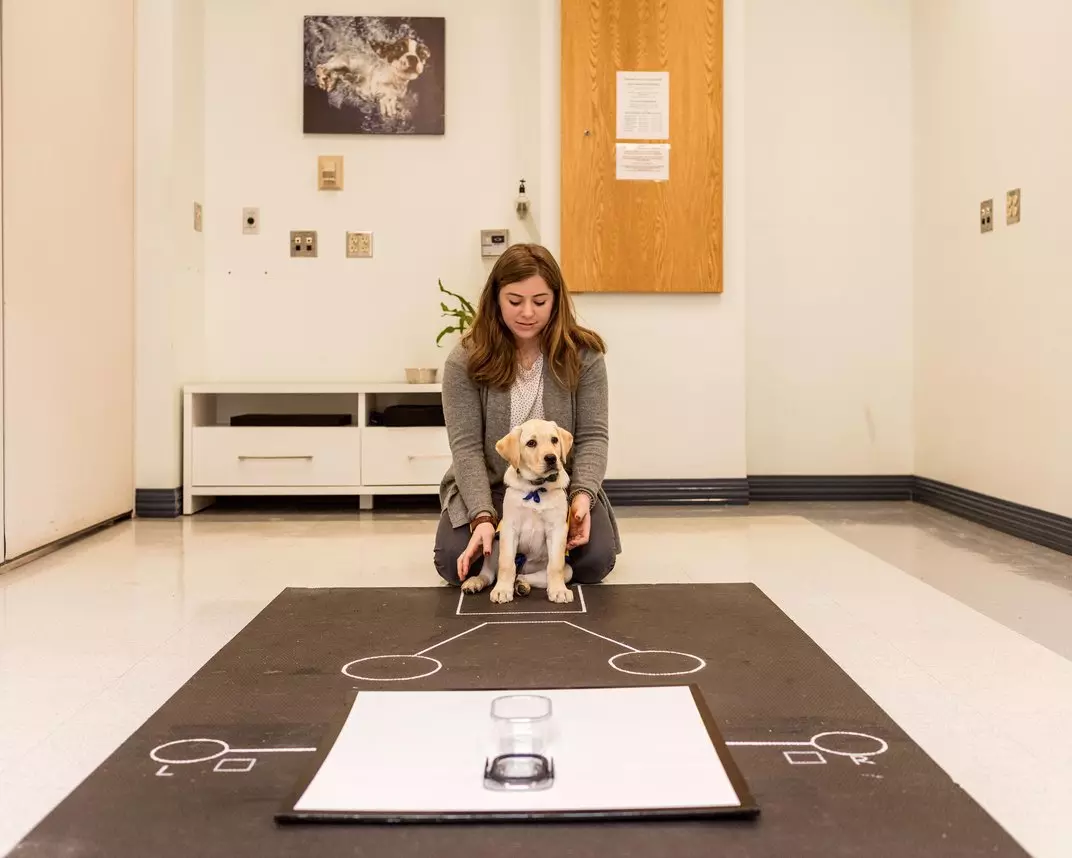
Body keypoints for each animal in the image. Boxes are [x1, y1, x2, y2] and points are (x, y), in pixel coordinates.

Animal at [460, 416, 578, 604]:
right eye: (531, 443)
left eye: (554, 440)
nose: (551, 458)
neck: (536, 488)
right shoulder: (509, 528)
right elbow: (506, 564)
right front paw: (502, 590)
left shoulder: (558, 530)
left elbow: (555, 566)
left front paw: (559, 590)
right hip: (494, 544)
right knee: (489, 574)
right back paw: (475, 582)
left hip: (566, 570)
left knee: (533, 575)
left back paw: (522, 584)